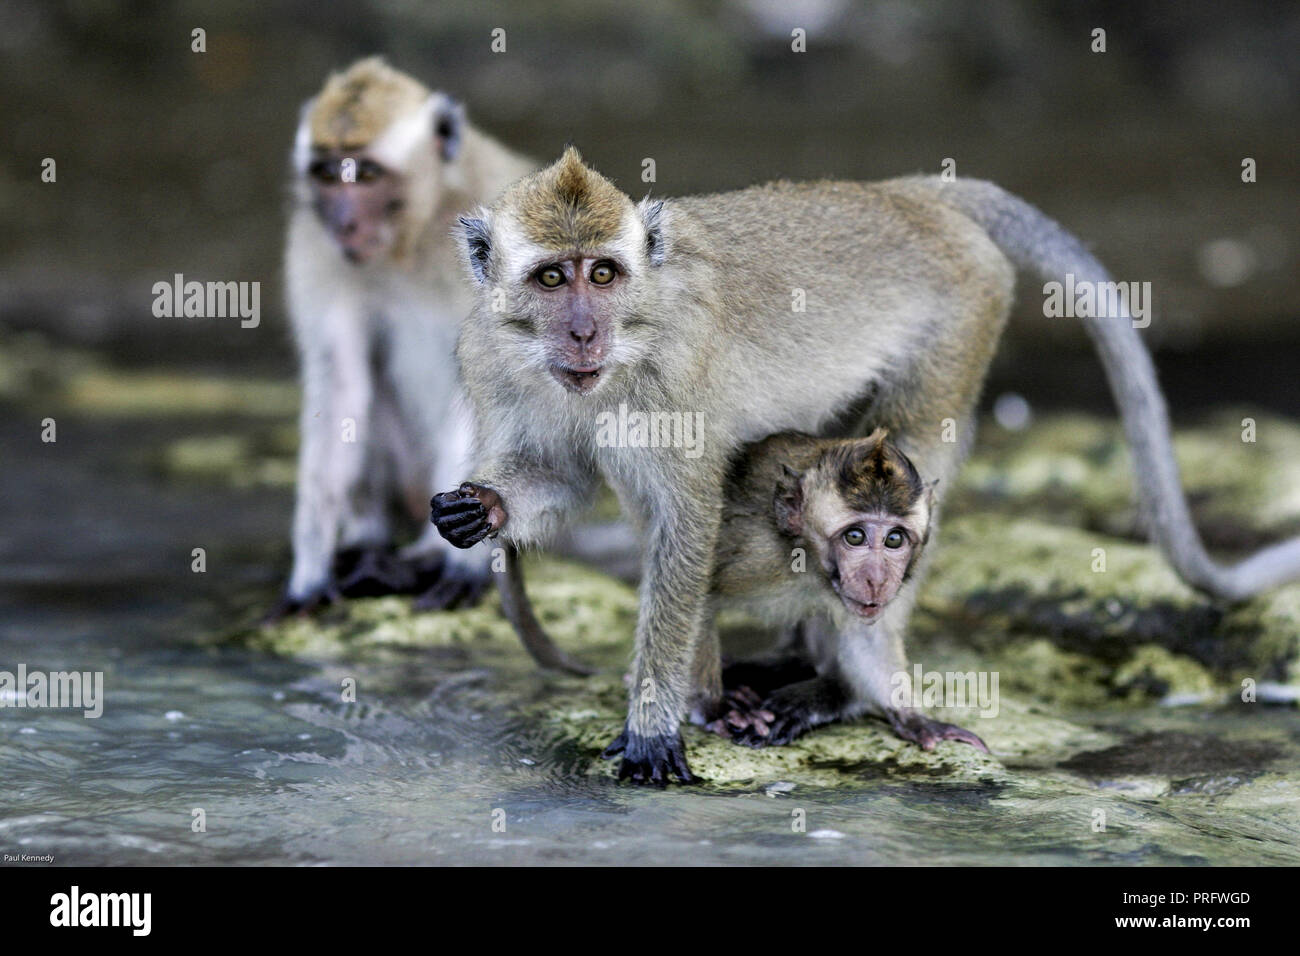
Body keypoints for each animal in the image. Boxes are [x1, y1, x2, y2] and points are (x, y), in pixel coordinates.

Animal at [268, 58, 541, 625]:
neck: (412, 237)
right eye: (328, 174)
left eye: (367, 174)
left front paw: (458, 559)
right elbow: (340, 387)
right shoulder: (316, 246)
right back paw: (369, 549)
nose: (345, 222)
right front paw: (310, 573)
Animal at [432, 147, 1300, 784]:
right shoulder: (489, 355)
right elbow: (568, 476)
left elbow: (686, 522)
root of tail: (908, 196)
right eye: (553, 276)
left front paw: (656, 720)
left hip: (964, 316)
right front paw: (483, 508)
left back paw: (842, 688)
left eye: (603, 274)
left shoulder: (673, 380)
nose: (584, 333)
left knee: (913, 451)